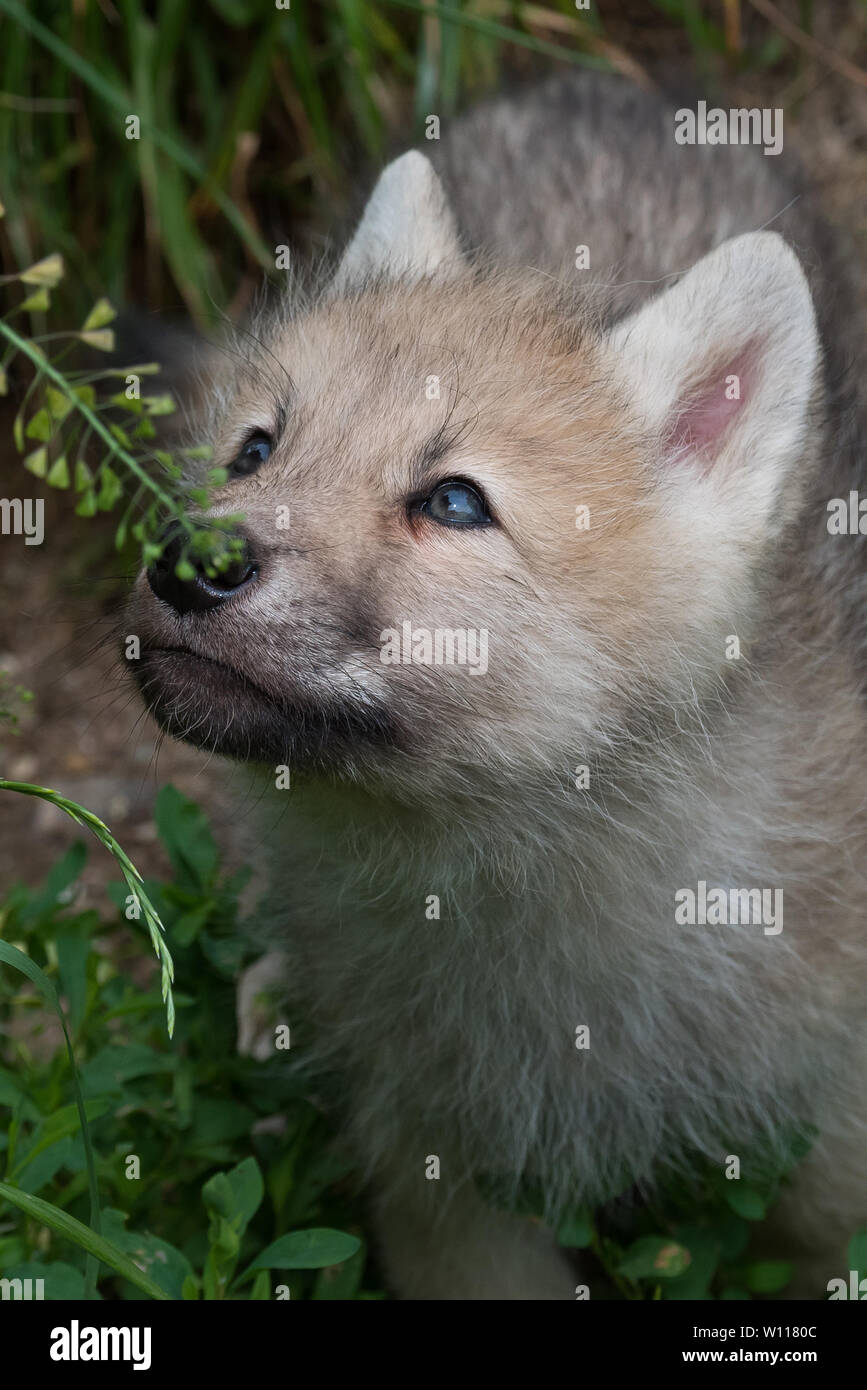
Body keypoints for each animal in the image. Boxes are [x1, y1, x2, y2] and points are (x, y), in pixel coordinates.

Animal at [128, 72, 867, 1299]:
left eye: (455, 502)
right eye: (253, 452)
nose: (189, 562)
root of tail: (598, 86)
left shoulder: (827, 1153)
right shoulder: (441, 1187)